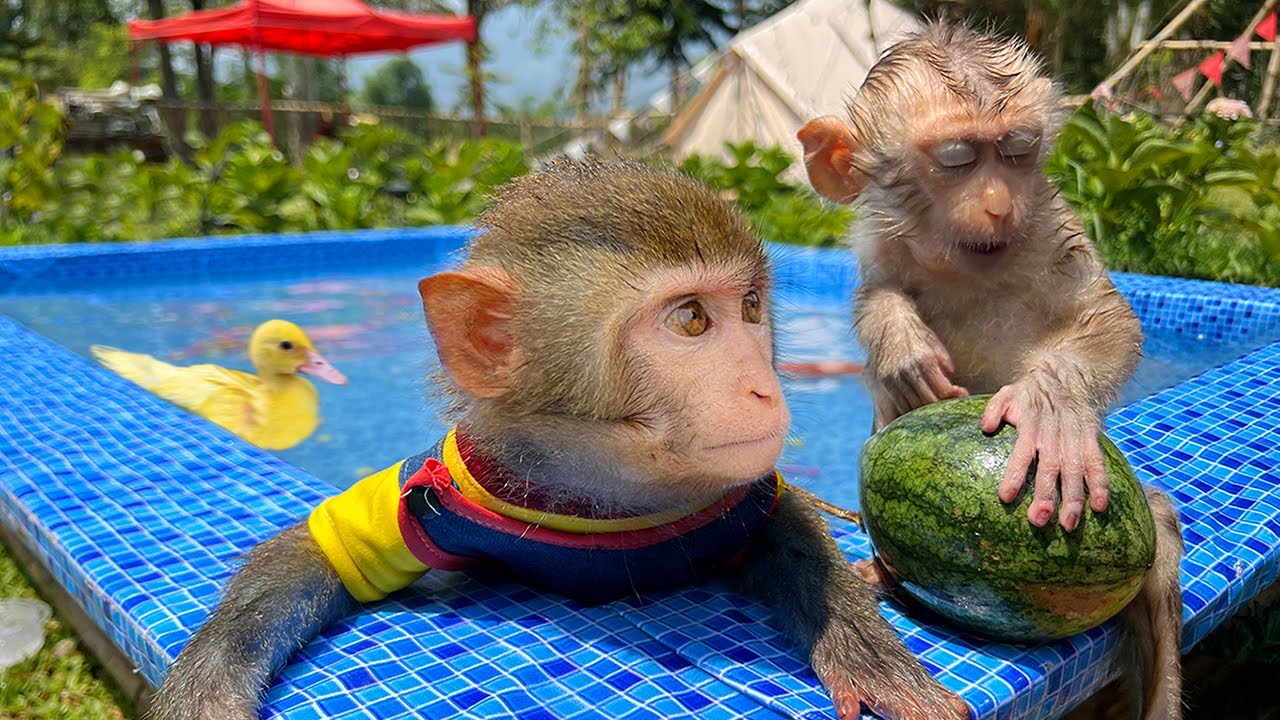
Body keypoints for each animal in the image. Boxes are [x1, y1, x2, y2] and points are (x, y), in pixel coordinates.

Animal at [150, 160, 970, 720]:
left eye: (748, 308)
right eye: (692, 320)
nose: (762, 388)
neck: (603, 500)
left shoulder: (735, 497)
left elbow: (788, 525)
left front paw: (865, 650)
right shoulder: (446, 487)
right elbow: (319, 551)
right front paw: (209, 684)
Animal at [796, 23, 1184, 720]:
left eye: (1016, 152)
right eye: (957, 159)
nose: (1000, 204)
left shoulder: (1049, 229)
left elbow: (1105, 318)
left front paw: (1050, 405)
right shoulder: (886, 236)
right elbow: (878, 289)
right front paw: (902, 343)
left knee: (1160, 533)